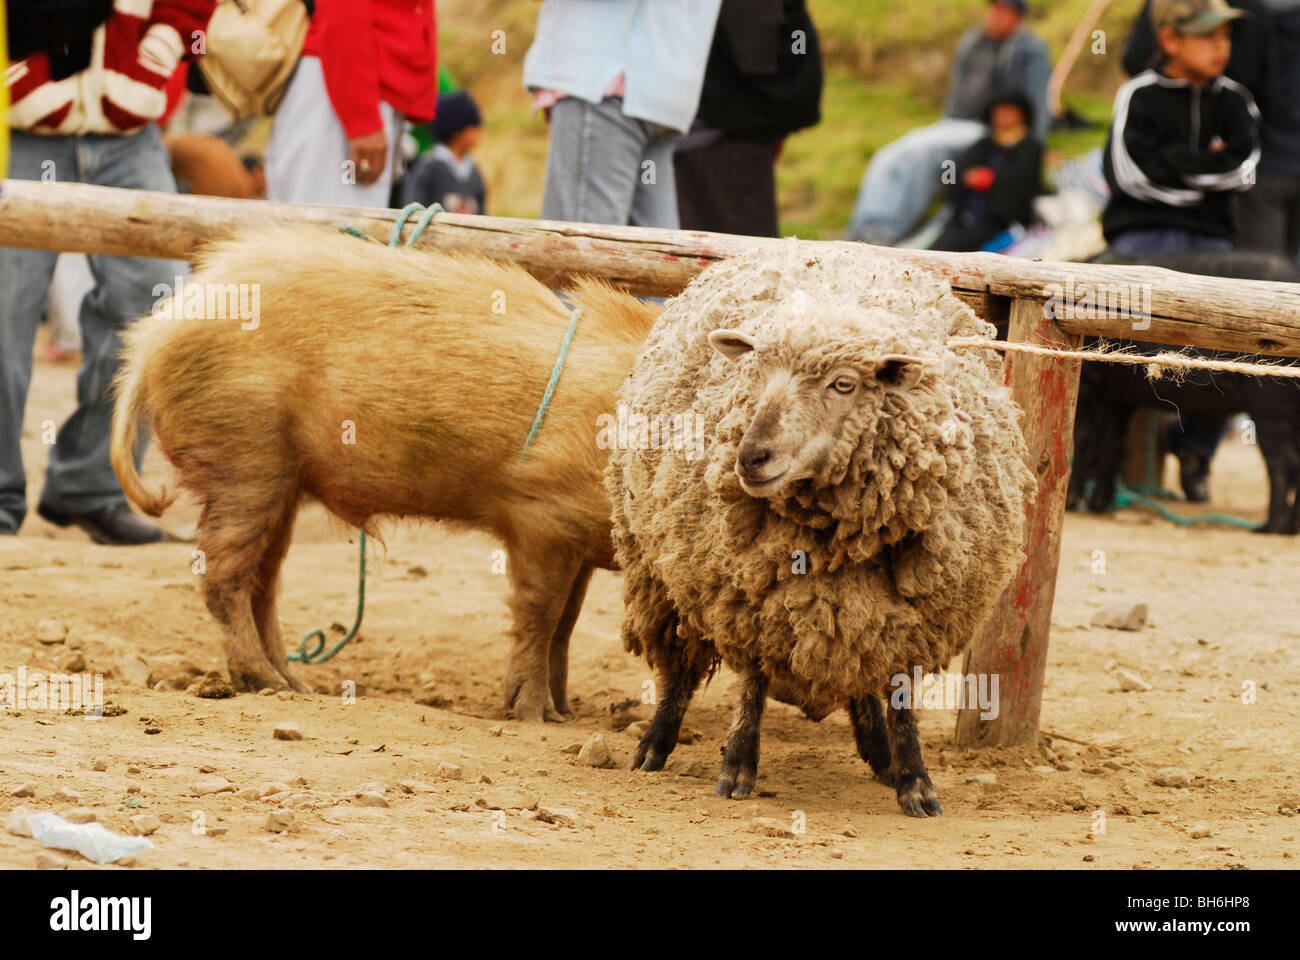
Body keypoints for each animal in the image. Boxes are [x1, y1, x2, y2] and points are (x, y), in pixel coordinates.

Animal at [111, 222, 659, 719]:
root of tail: (154, 334)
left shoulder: (574, 539)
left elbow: (567, 622)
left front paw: (566, 712)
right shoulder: (542, 514)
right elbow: (542, 615)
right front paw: (534, 716)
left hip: (282, 480)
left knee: (264, 582)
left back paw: (297, 685)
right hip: (243, 453)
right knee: (223, 574)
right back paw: (268, 683)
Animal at [606, 244, 1037, 816]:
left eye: (844, 383)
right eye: (757, 373)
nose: (750, 457)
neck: (837, 537)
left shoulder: (917, 615)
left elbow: (901, 696)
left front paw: (915, 781)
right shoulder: (749, 594)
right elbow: (753, 683)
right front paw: (737, 767)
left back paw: (879, 751)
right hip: (657, 568)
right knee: (678, 666)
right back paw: (655, 744)